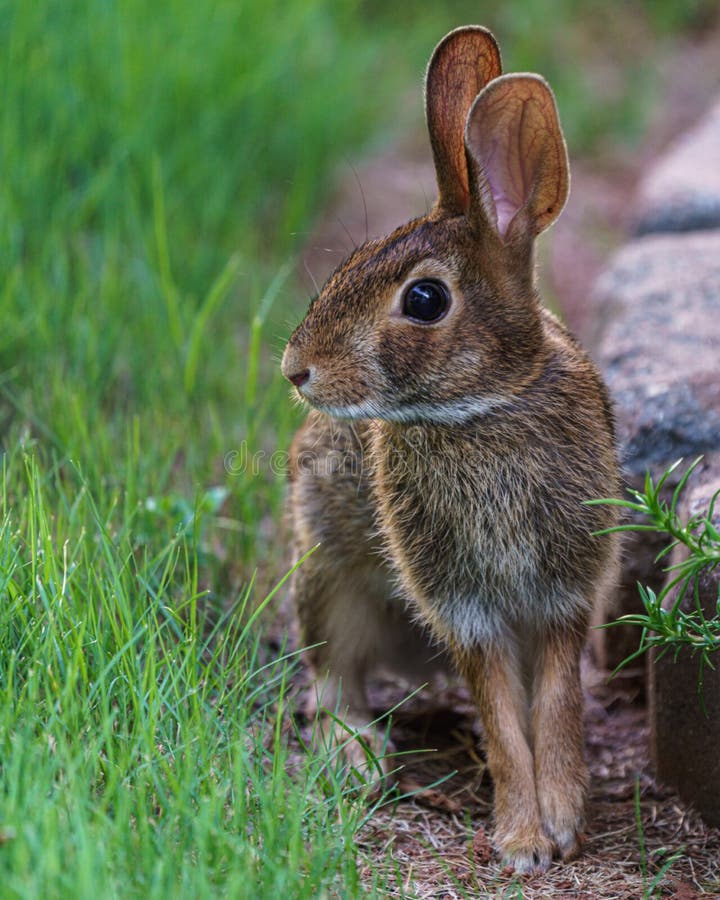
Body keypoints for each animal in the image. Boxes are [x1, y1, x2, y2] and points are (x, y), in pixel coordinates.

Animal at [281, 25, 620, 874]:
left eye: (425, 300)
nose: (295, 369)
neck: (484, 407)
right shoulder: (465, 602)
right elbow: (502, 720)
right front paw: (524, 841)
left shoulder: (565, 593)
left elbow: (555, 703)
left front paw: (564, 822)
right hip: (329, 577)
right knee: (330, 681)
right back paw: (358, 757)